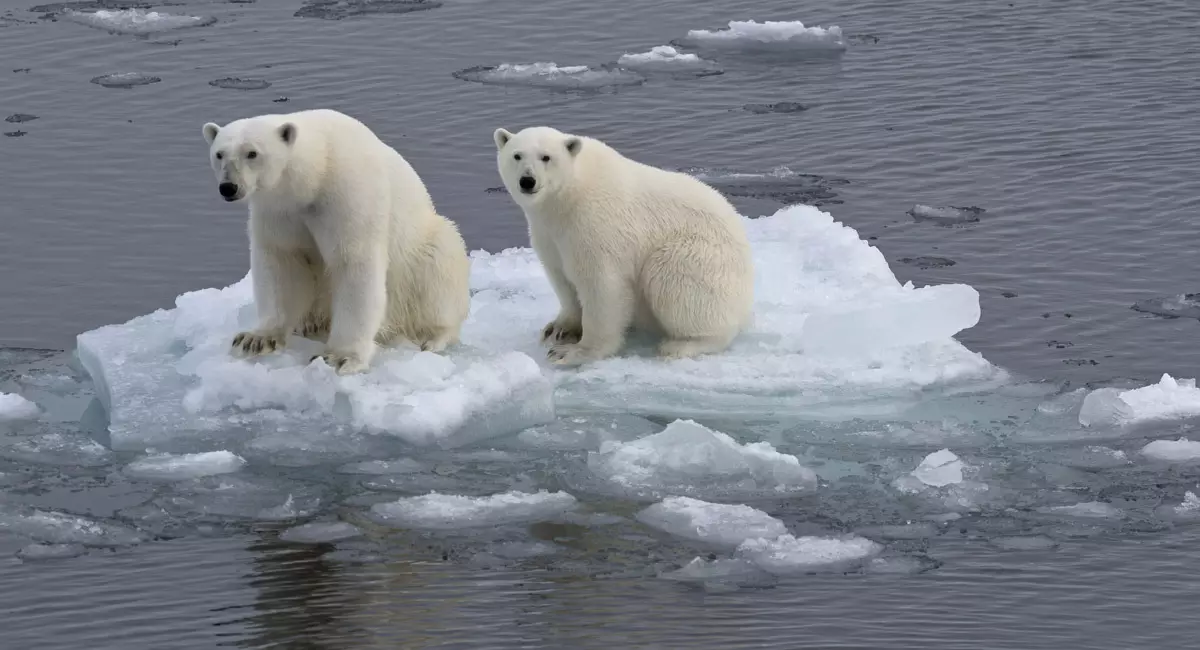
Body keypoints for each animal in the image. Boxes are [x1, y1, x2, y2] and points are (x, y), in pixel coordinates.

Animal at [201, 110, 468, 376]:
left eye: (252, 153)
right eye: (219, 153)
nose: (228, 187)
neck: (317, 171)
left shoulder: (347, 195)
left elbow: (353, 264)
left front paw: (339, 357)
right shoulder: (279, 212)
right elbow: (282, 261)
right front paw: (255, 339)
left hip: (422, 251)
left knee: (438, 269)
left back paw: (435, 337)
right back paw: (308, 324)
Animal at [487, 126, 748, 366]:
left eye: (546, 157)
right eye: (517, 155)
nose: (527, 181)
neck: (566, 198)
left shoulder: (594, 224)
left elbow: (602, 286)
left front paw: (571, 352)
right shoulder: (548, 234)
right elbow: (561, 278)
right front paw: (557, 329)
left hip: (699, 257)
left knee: (672, 281)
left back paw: (681, 344)